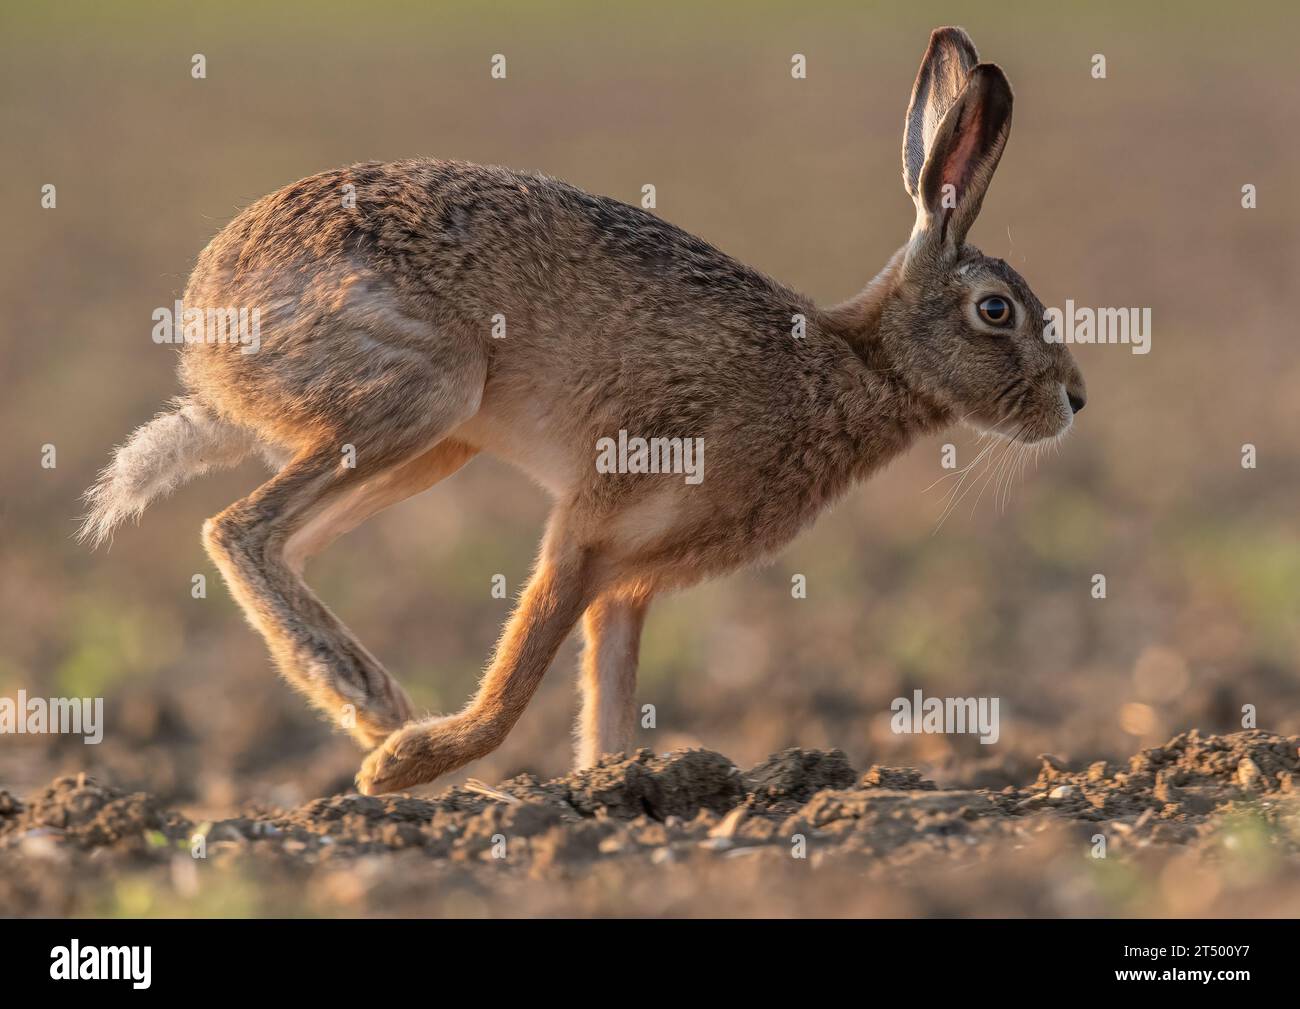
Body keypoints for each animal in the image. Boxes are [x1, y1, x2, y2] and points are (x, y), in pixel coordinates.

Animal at [80, 27, 1085, 795]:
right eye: (997, 310)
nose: (1075, 399)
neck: (855, 361)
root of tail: (208, 326)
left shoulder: (628, 580)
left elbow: (606, 693)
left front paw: (619, 788)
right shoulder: (594, 523)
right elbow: (518, 676)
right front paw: (409, 768)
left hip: (432, 442)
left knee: (283, 538)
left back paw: (354, 697)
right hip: (427, 390)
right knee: (239, 528)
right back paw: (372, 709)